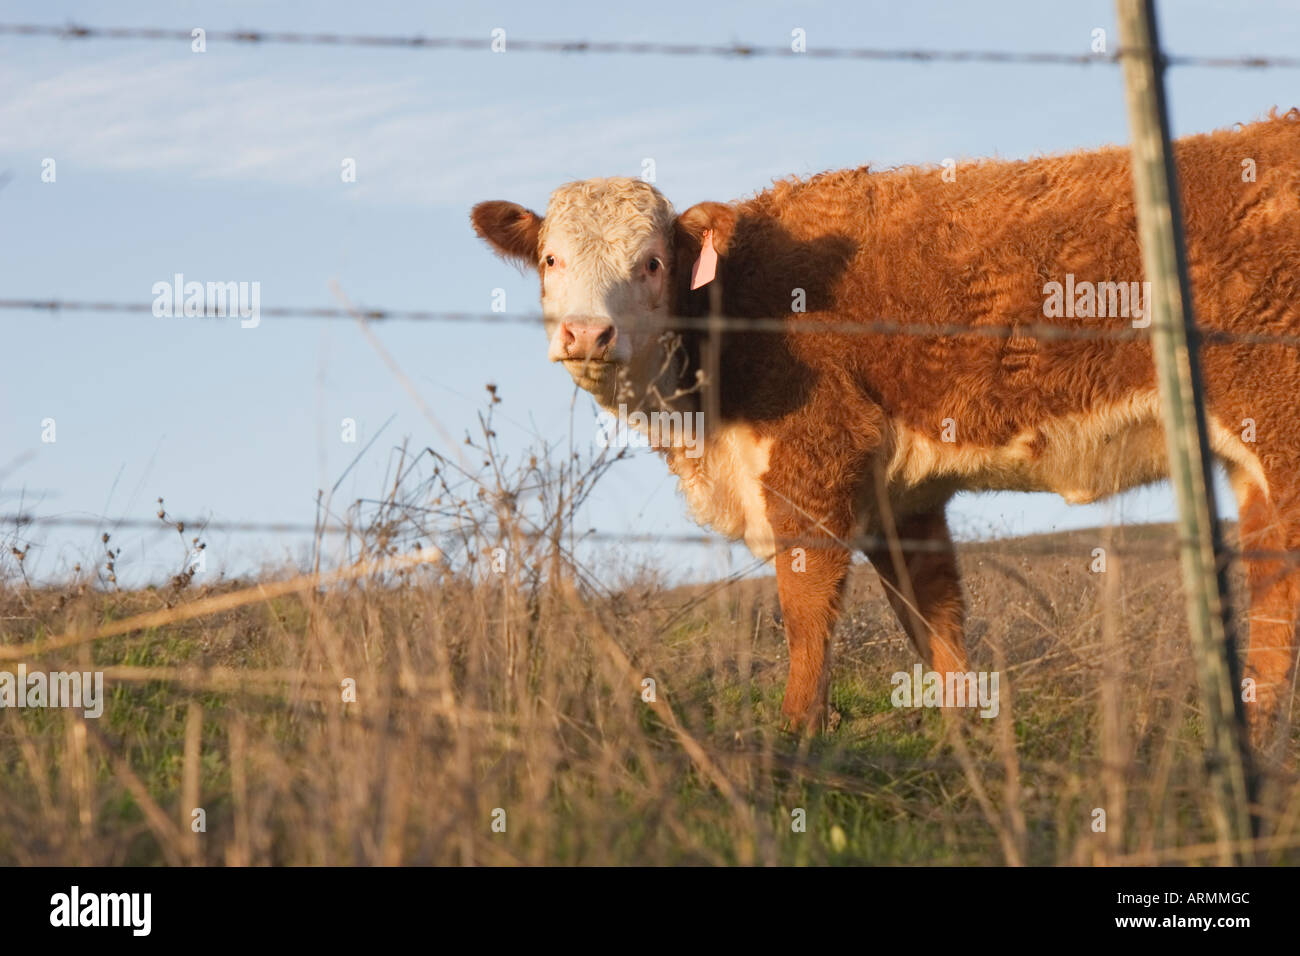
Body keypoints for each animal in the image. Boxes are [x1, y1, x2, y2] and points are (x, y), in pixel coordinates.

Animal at [471, 110, 1300, 743]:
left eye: (649, 263)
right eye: (550, 259)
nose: (587, 333)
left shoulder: (812, 457)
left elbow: (806, 612)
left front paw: (796, 737)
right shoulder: (903, 498)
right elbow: (936, 618)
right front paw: (961, 745)